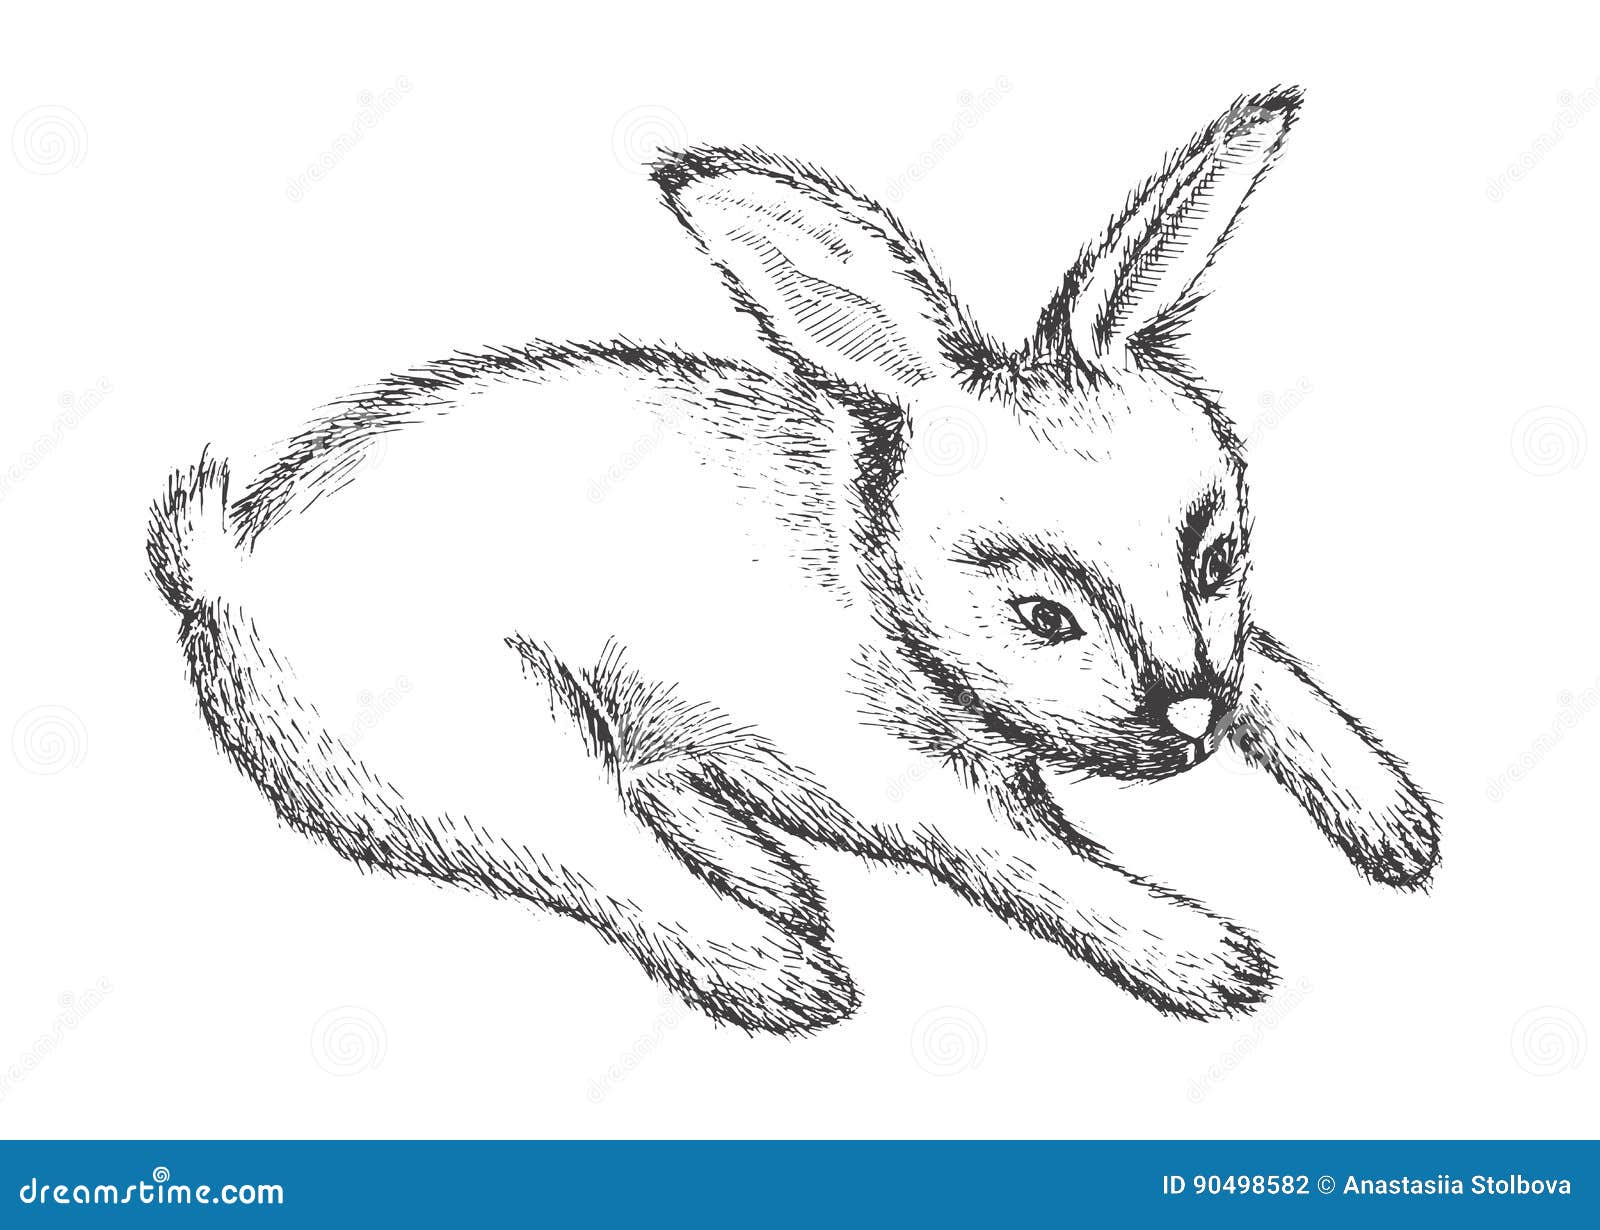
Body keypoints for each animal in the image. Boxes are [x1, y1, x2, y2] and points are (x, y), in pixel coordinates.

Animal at [147, 85, 1438, 1035]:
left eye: (1217, 559)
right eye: (1041, 617)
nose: (1187, 723)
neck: (878, 582)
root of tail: (226, 563)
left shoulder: (1230, 652)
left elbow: (1278, 681)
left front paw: (1394, 826)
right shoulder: (915, 793)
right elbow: (1032, 862)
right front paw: (1208, 961)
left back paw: (775, 881)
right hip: (484, 733)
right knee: (588, 860)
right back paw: (786, 974)